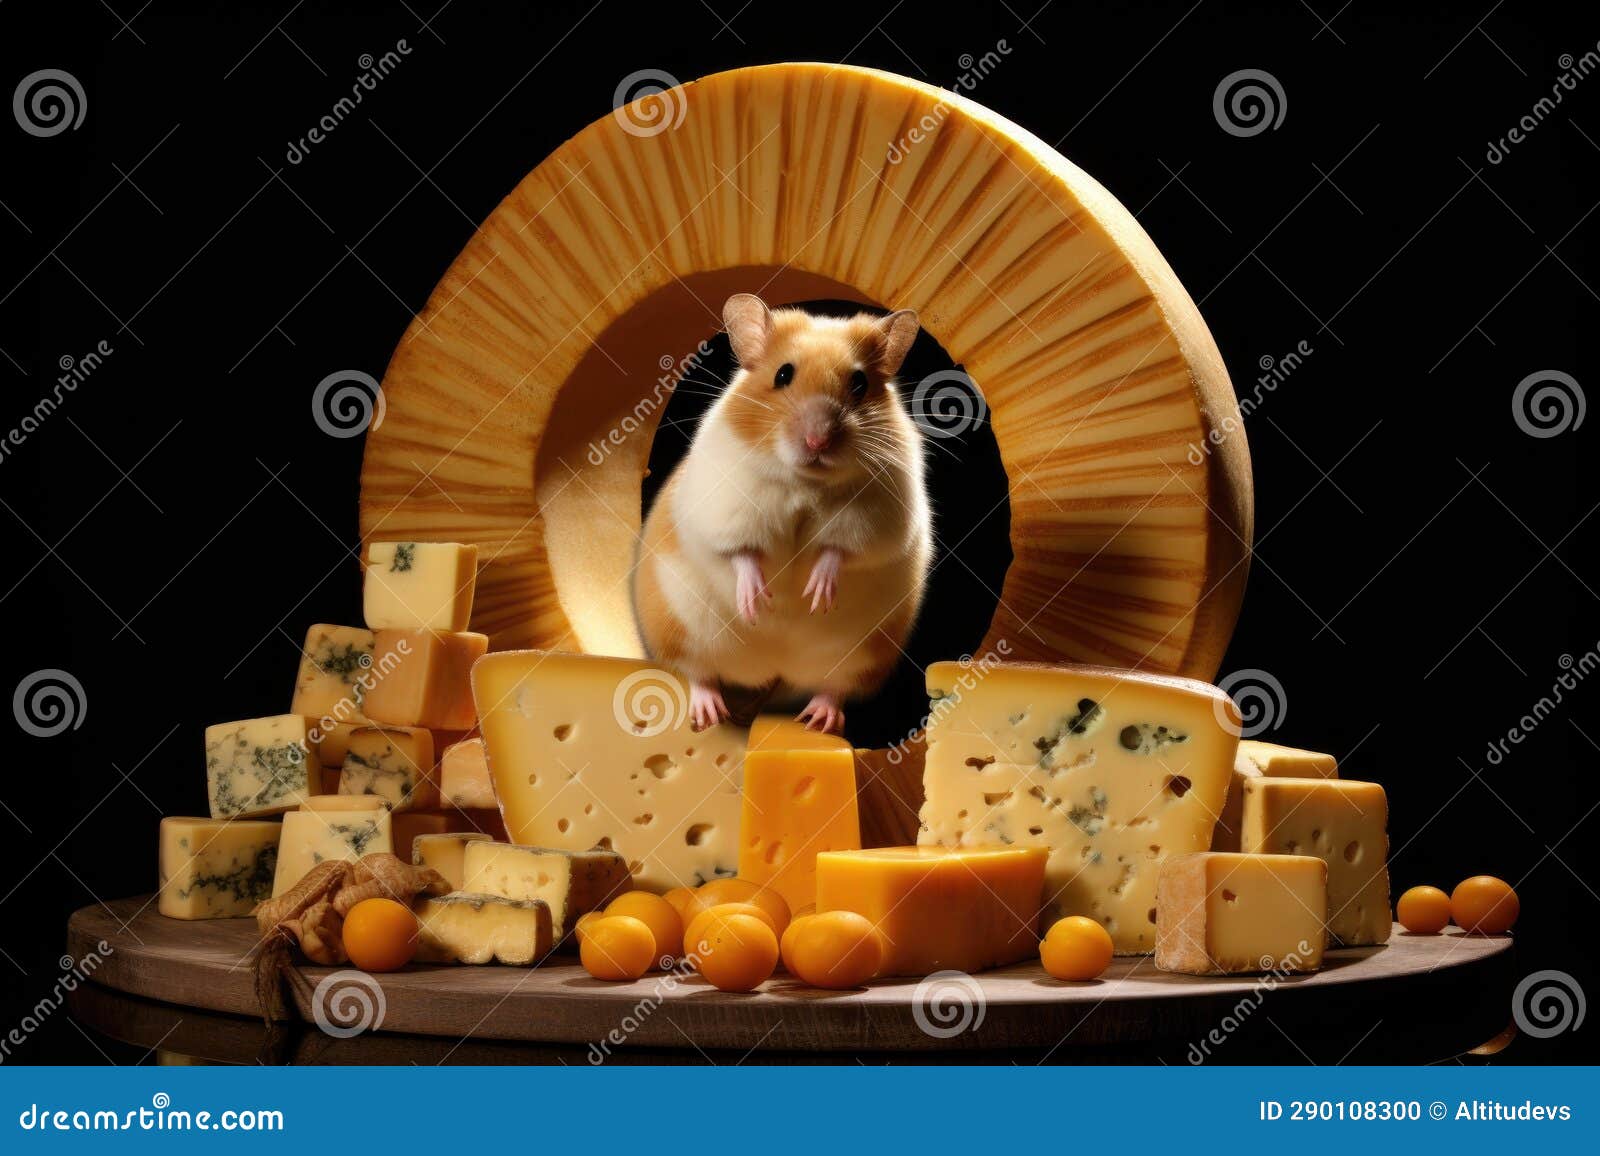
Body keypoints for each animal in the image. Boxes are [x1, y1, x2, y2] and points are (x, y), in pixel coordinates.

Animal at [633, 293, 933, 734]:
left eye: (859, 384)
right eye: (783, 374)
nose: (818, 441)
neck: (805, 481)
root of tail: (770, 671)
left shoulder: (877, 520)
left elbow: (839, 551)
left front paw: (816, 594)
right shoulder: (724, 511)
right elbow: (740, 553)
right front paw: (757, 602)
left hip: (865, 655)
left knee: (835, 687)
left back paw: (819, 719)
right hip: (675, 627)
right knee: (699, 673)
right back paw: (710, 713)